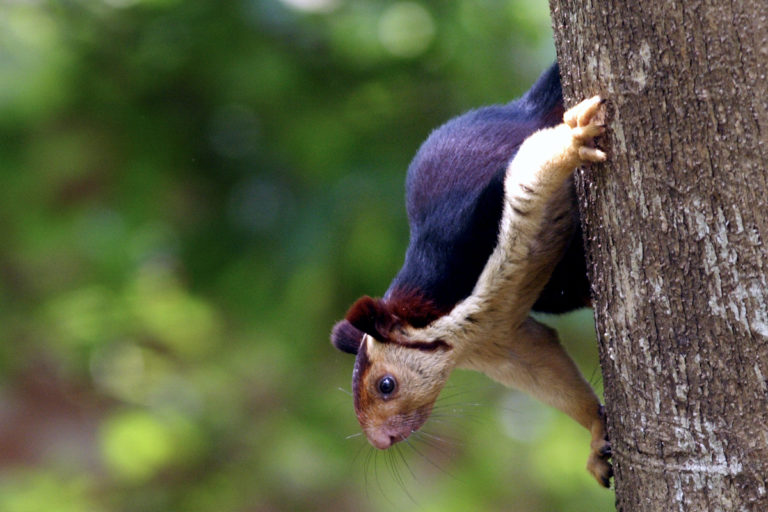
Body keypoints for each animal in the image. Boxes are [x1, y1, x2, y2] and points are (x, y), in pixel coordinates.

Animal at [330, 64, 612, 487]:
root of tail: (521, 108)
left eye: (386, 385)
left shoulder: (470, 238)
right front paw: (596, 435)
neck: (457, 324)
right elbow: (551, 376)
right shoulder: (501, 345)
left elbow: (527, 173)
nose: (381, 441)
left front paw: (575, 139)